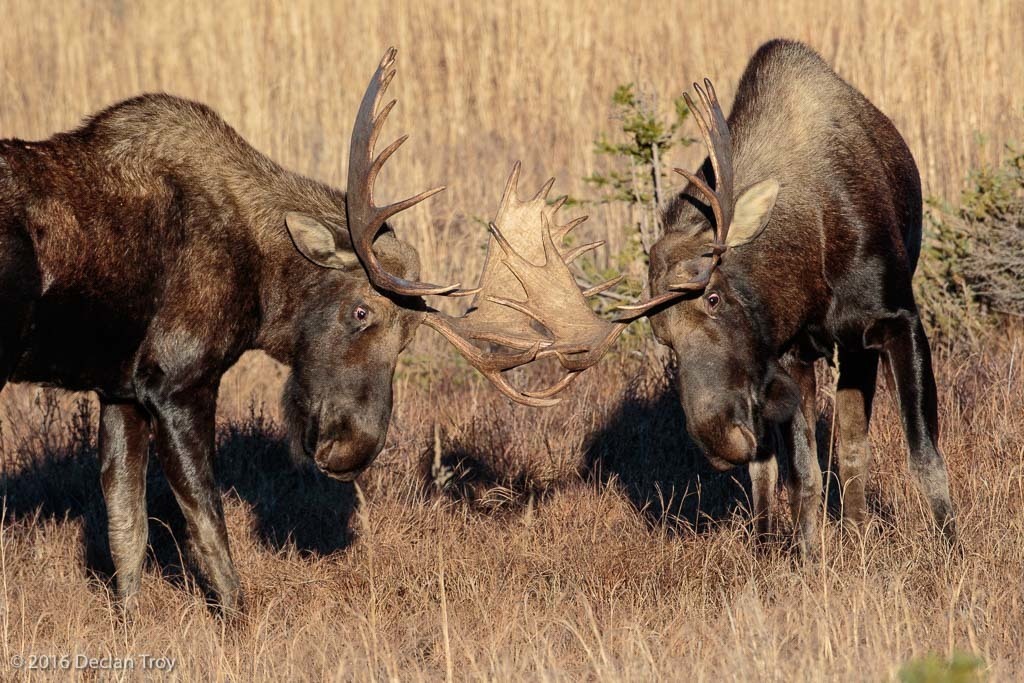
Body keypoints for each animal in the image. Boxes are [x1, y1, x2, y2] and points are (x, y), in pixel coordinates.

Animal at [0, 48, 620, 612]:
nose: (352, 450)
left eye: (407, 342)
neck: (259, 284)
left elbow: (127, 535)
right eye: (361, 312)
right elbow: (208, 530)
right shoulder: (174, 381)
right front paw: (238, 626)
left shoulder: (119, 392)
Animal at [612, 39, 957, 556]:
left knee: (850, 444)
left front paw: (950, 545)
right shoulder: (792, 355)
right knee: (773, 468)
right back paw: (772, 543)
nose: (720, 439)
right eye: (662, 336)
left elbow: (923, 455)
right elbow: (804, 477)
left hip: (846, 351)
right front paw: (810, 556)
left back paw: (857, 531)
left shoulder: (898, 319)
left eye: (713, 298)